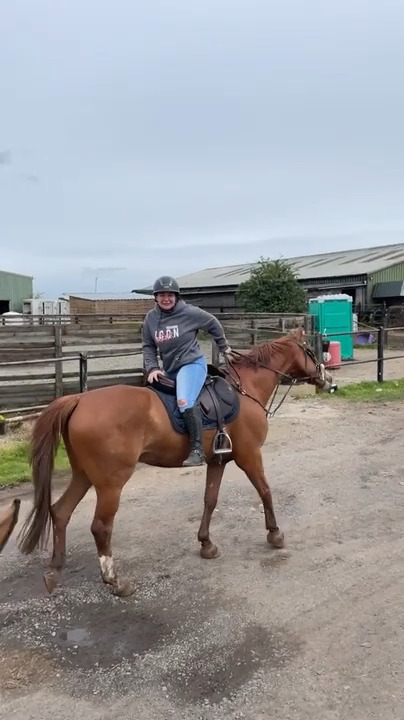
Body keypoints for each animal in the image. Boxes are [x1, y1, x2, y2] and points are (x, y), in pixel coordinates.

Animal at [17, 327, 333, 597]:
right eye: (310, 350)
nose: (326, 378)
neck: (245, 389)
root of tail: (79, 400)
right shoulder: (249, 455)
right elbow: (265, 490)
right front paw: (275, 534)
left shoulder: (218, 461)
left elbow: (210, 500)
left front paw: (206, 544)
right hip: (110, 483)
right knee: (100, 527)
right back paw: (115, 581)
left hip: (83, 475)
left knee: (60, 512)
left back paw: (54, 571)